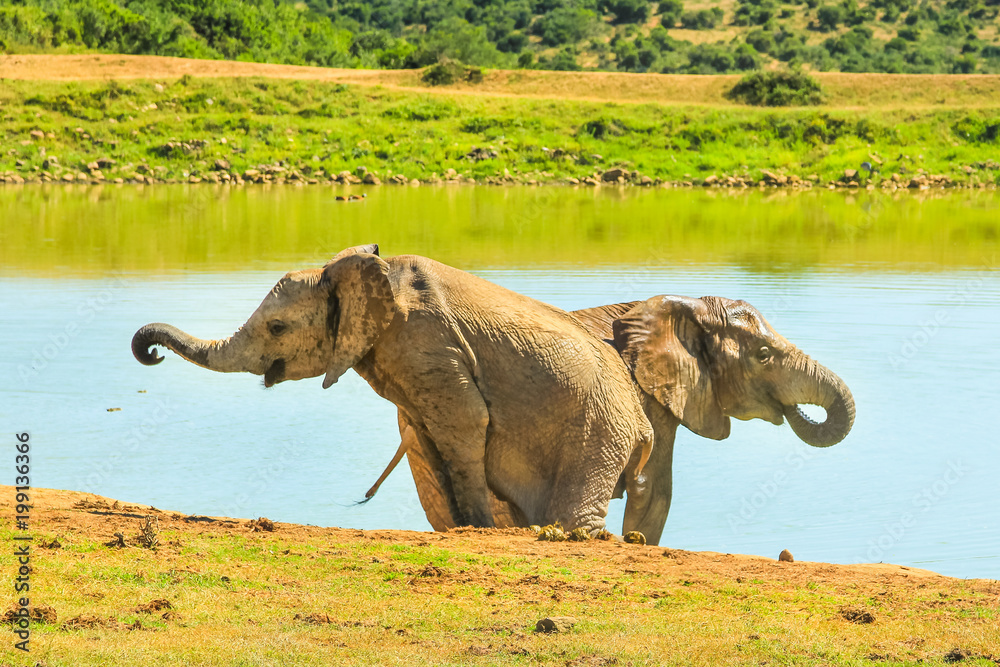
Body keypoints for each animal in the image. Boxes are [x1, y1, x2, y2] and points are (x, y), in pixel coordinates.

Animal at [131, 244, 653, 534]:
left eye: (277, 328)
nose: (151, 352)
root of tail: (641, 420)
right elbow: (429, 438)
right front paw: (464, 527)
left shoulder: (428, 344)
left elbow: (466, 424)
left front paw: (478, 529)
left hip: (598, 430)